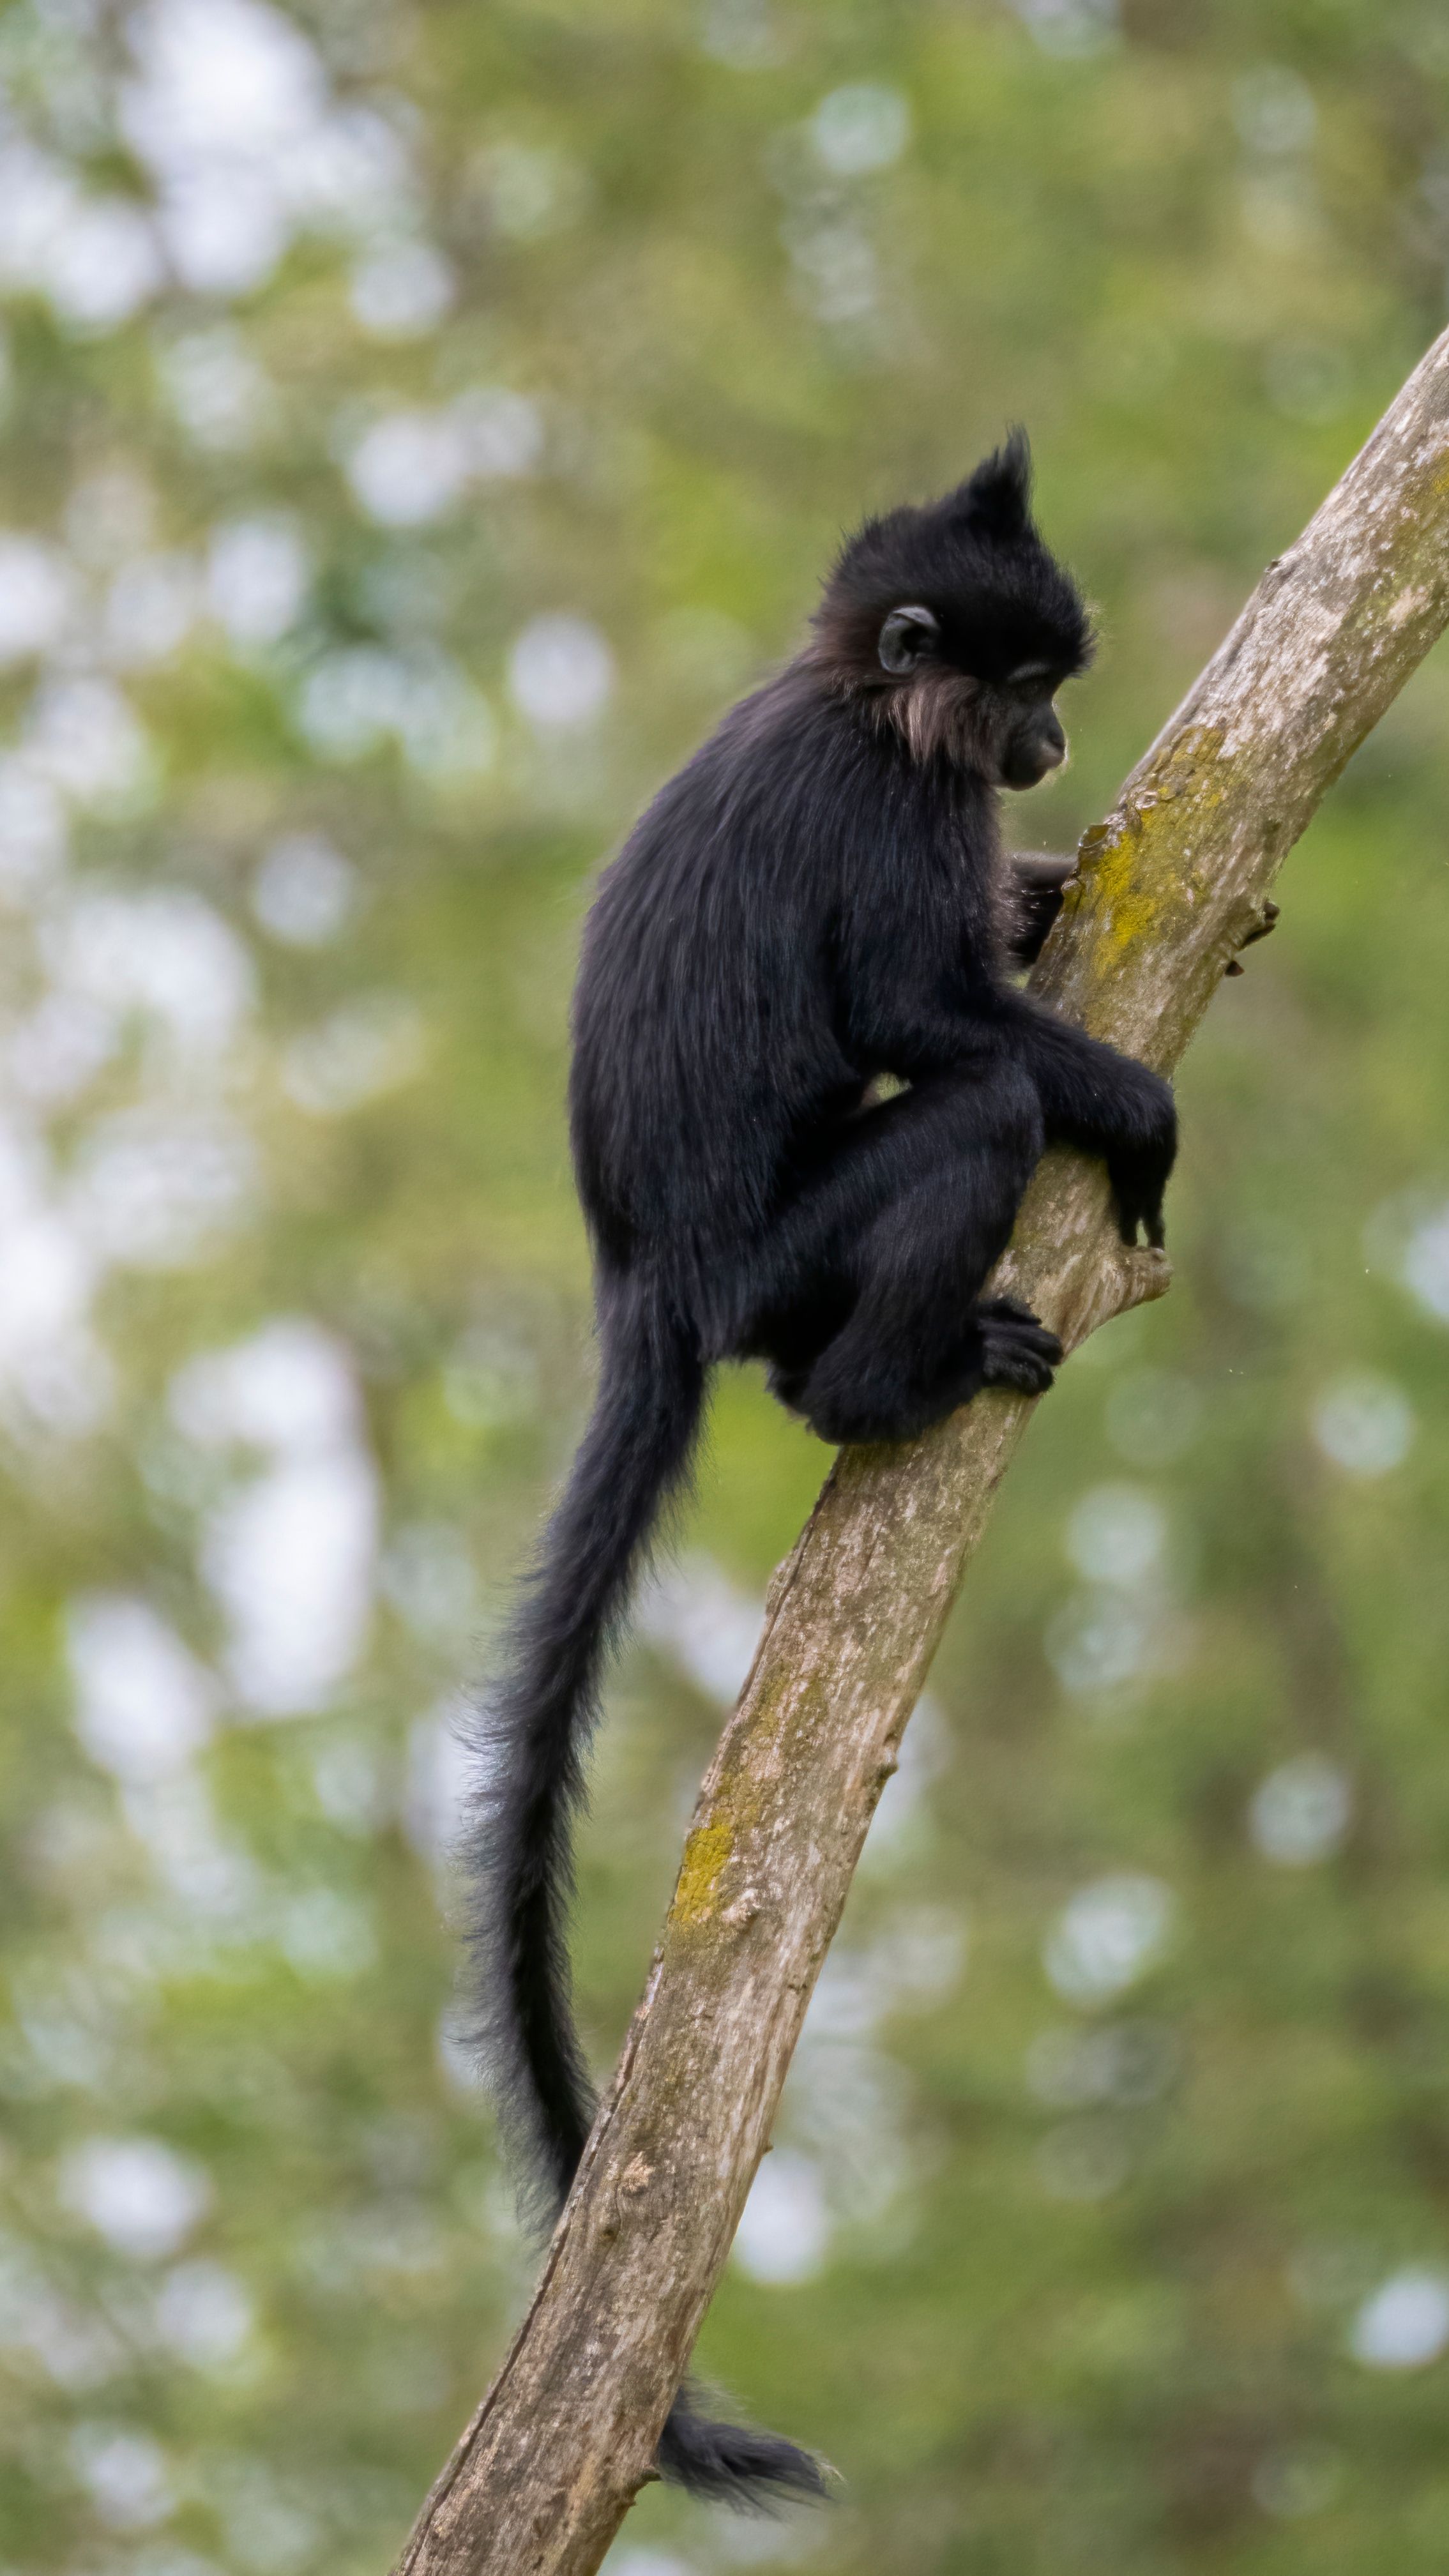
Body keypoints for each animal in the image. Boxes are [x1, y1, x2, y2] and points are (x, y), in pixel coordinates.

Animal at [467, 435, 1177, 2508]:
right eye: (1019, 687)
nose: (1046, 742)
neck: (867, 699)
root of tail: (651, 1281)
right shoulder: (893, 805)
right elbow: (920, 1022)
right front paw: (1136, 1103)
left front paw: (1049, 888)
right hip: (793, 1246)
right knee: (976, 1105)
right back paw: (875, 1388)